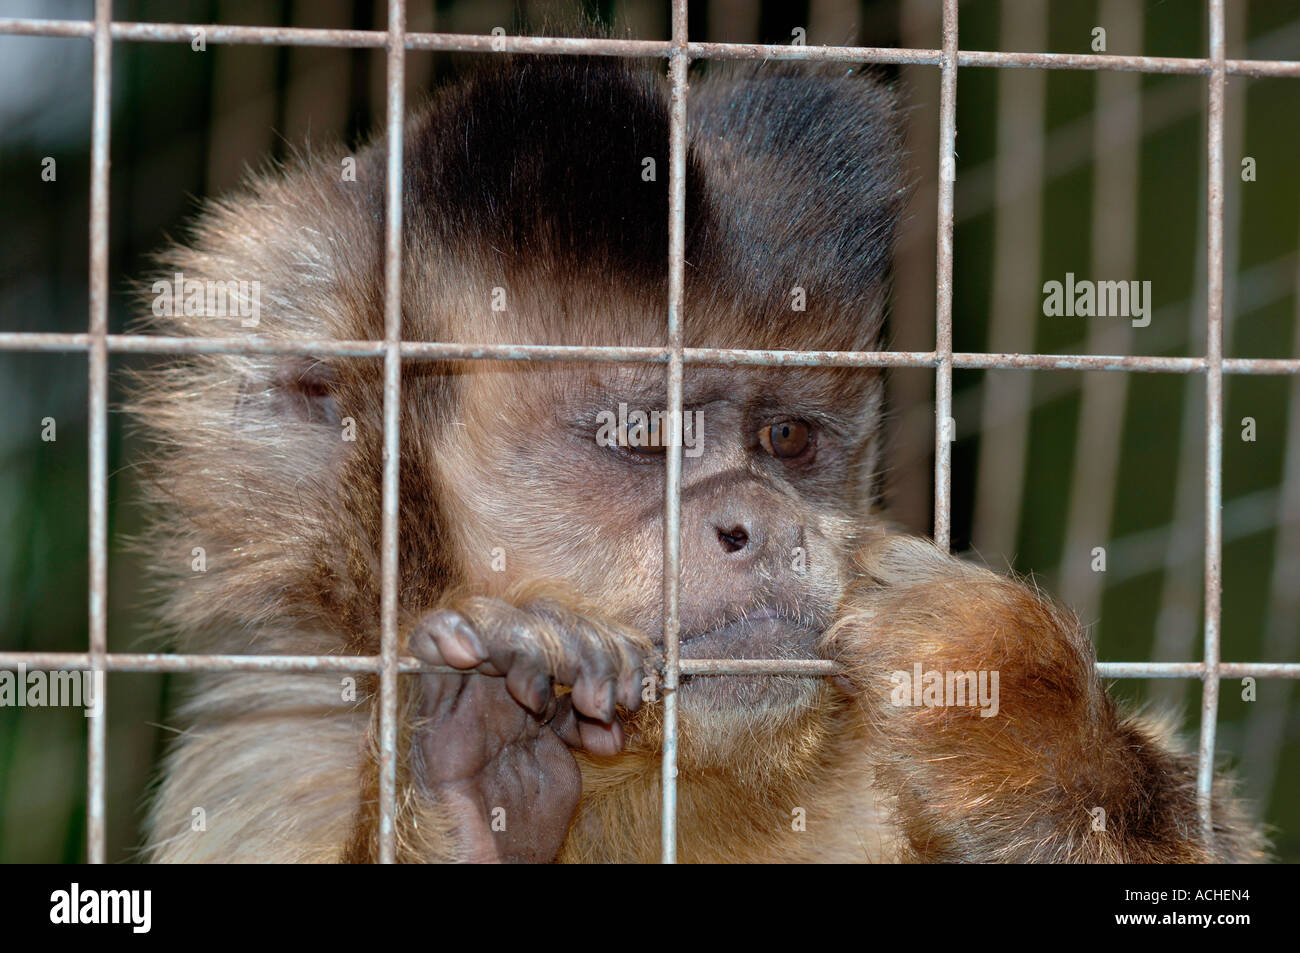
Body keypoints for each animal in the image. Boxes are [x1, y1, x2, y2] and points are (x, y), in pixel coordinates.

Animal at [129, 50, 1267, 863]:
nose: (757, 520)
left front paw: (1013, 714)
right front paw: (483, 781)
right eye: (641, 440)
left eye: (786, 439)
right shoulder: (267, 750)